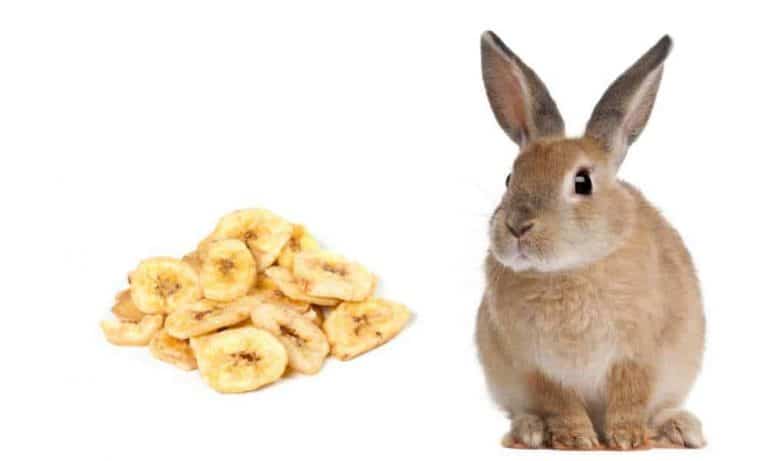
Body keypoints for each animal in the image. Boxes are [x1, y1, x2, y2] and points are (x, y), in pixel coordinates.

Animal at [475, 31, 706, 450]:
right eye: (510, 178)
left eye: (582, 182)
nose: (518, 226)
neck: (570, 269)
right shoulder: (538, 367)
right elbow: (560, 402)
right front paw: (578, 439)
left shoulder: (639, 354)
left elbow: (631, 395)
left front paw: (626, 438)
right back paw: (529, 431)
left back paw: (683, 429)